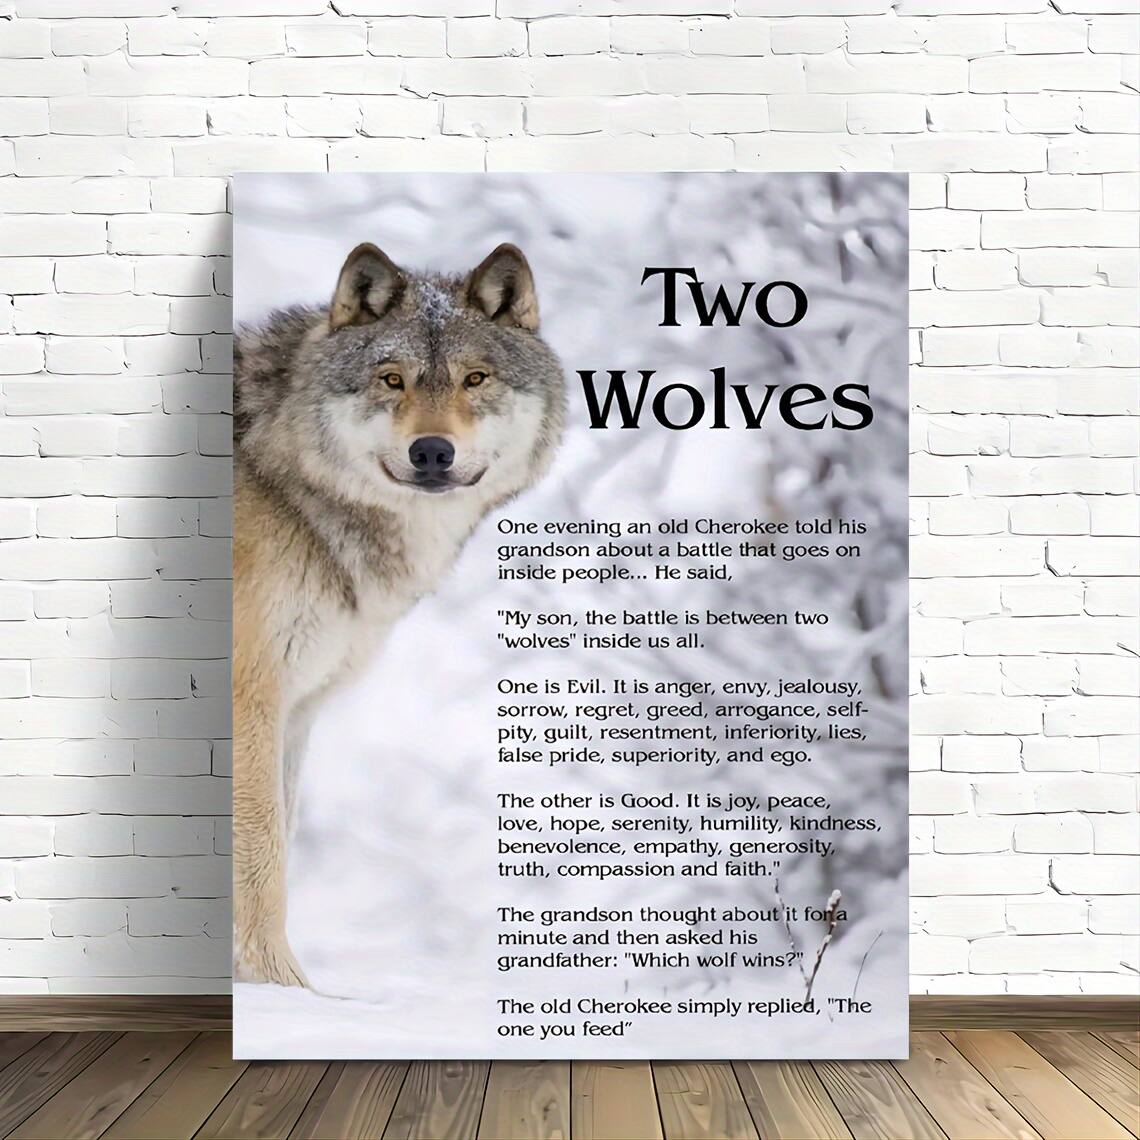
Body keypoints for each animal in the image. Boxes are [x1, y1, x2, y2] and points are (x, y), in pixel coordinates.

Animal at [232, 242, 565, 987]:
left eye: (475, 378)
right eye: (392, 379)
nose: (432, 451)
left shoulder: (298, 708)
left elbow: (278, 846)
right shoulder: (253, 698)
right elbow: (262, 856)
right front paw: (283, 990)